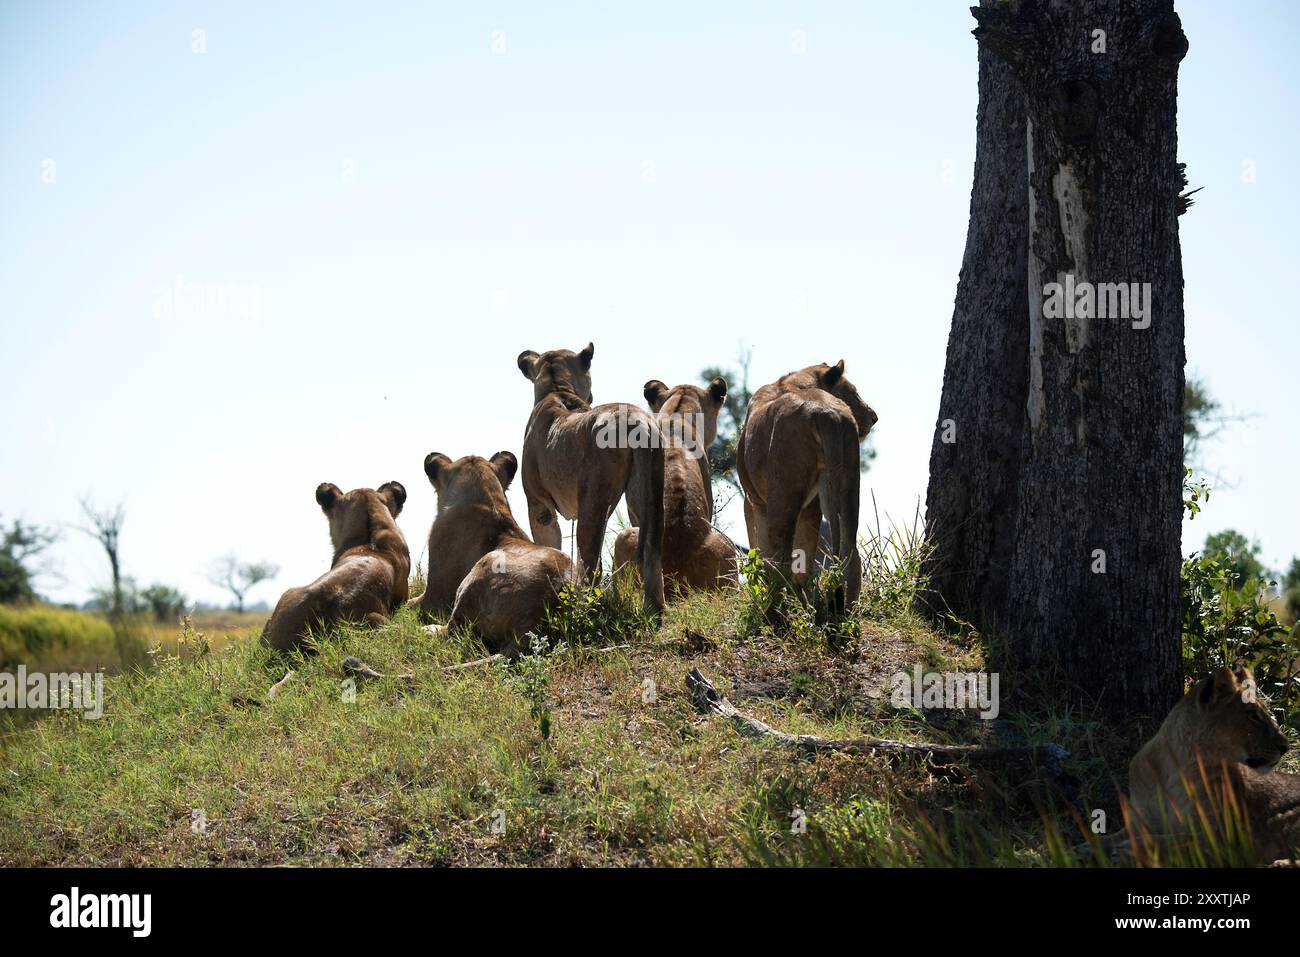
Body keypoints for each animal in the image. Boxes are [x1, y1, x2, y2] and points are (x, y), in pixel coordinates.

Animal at [409, 451, 576, 654]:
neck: (488, 502)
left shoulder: (433, 597)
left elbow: (408, 603)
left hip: (485, 564)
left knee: (454, 629)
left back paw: (428, 630)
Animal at [516, 343, 665, 613]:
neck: (556, 388)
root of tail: (635, 421)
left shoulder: (539, 505)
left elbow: (550, 545)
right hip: (648, 493)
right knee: (651, 548)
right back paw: (653, 610)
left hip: (592, 501)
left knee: (590, 561)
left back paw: (585, 610)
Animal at [736, 360, 877, 609]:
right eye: (853, 391)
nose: (874, 417)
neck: (795, 382)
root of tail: (828, 414)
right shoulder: (812, 507)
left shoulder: (752, 499)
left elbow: (759, 549)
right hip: (848, 486)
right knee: (849, 552)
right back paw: (839, 609)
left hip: (782, 495)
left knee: (781, 561)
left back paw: (777, 608)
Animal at [1128, 666, 1296, 863]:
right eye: (1253, 715)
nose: (1286, 747)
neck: (1178, 764)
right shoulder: (1140, 817)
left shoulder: (1218, 840)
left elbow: (1169, 842)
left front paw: (1124, 850)